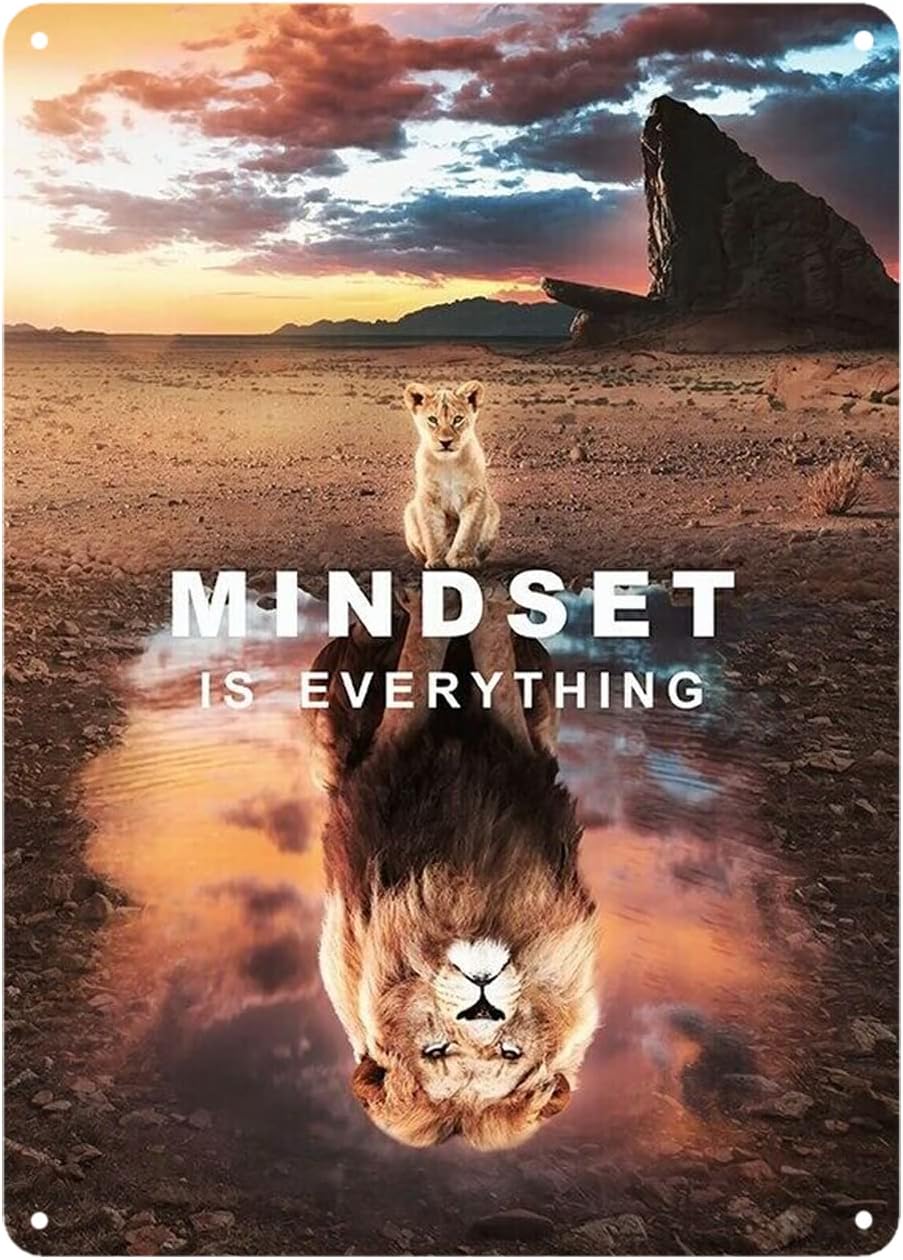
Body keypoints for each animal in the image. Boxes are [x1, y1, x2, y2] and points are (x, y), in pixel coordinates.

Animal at [309, 589, 600, 1149]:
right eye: (436, 1050)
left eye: (509, 1052)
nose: (482, 1000)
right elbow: (423, 657)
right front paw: (441, 593)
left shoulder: (520, 740)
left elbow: (490, 660)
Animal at [402, 379, 500, 569]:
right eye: (433, 420)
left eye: (458, 419)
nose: (445, 442)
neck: (448, 463)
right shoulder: (428, 497)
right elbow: (432, 532)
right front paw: (437, 561)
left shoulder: (476, 495)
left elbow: (468, 532)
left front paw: (462, 559)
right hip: (409, 511)